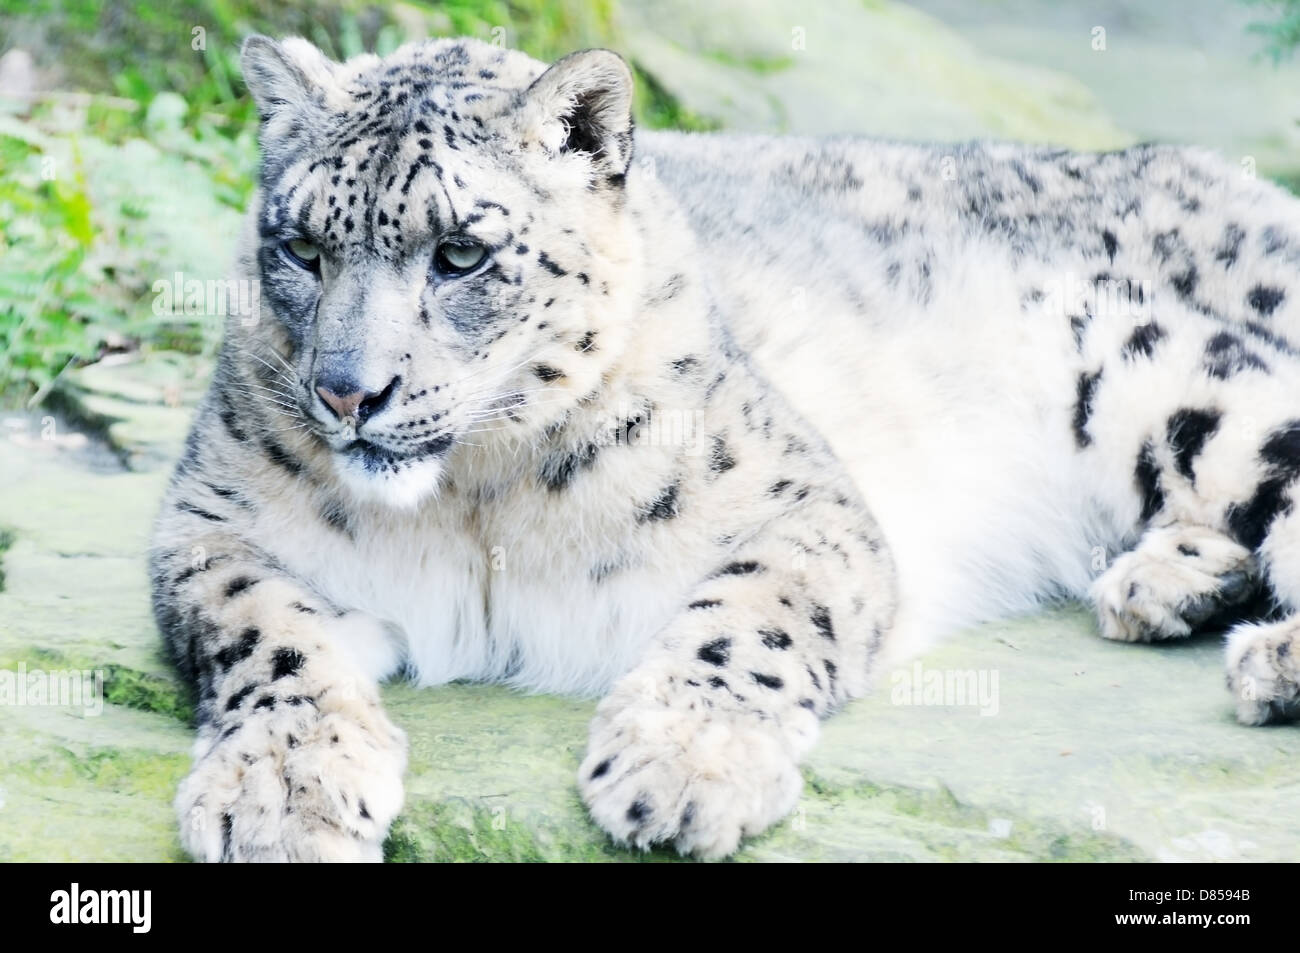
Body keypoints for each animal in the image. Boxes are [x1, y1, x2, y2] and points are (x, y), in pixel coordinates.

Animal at [149, 33, 1300, 861]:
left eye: (462, 252)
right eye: (303, 247)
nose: (347, 390)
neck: (472, 502)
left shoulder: (805, 504)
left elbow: (751, 614)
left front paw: (685, 763)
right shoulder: (209, 521)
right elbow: (265, 631)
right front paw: (281, 790)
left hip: (1163, 375)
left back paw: (1263, 656)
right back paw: (1161, 584)